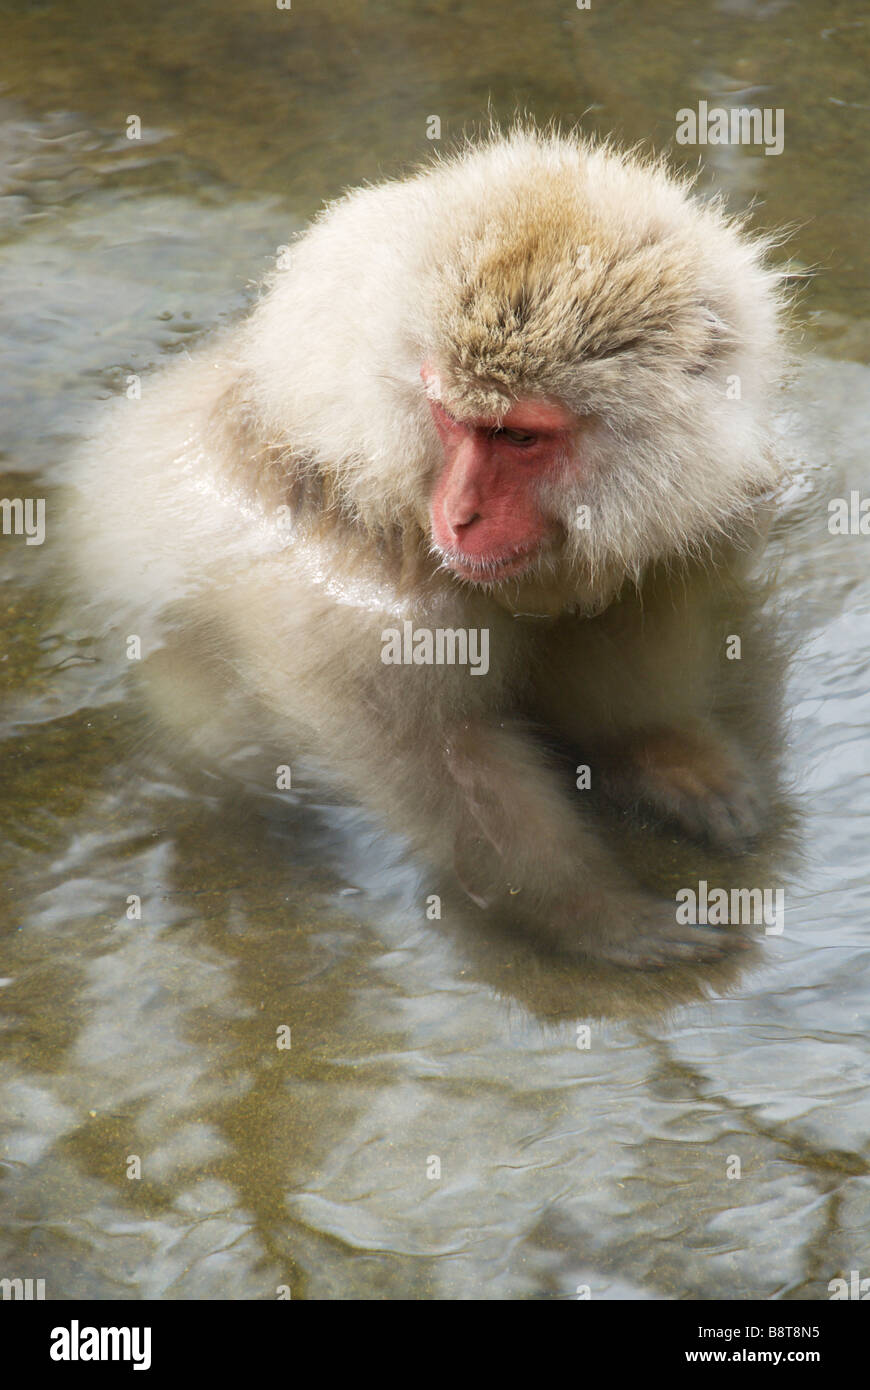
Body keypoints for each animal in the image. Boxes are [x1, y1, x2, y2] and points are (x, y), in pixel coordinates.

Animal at [66, 125, 788, 970]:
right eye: (453, 419)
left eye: (517, 437)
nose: (461, 516)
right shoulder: (378, 598)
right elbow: (426, 750)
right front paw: (590, 912)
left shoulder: (692, 518)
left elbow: (641, 605)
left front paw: (655, 750)